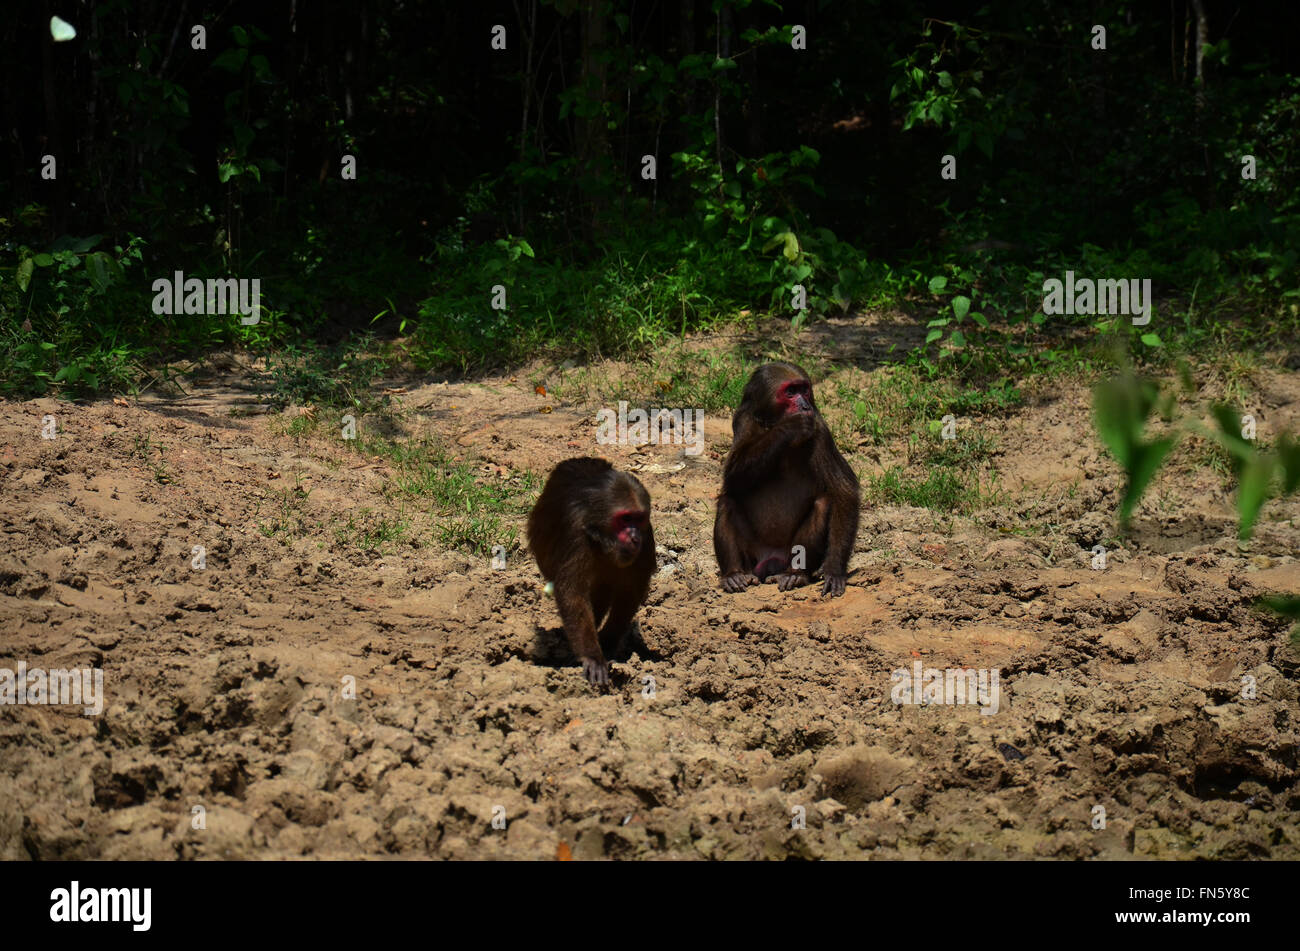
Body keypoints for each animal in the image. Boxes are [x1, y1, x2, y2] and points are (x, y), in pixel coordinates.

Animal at [527, 458, 655, 686]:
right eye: (625, 519)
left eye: (638, 519)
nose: (634, 538)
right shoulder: (576, 532)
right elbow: (573, 592)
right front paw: (592, 655)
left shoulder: (647, 536)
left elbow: (630, 593)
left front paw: (607, 643)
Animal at [713, 362, 860, 597]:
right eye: (791, 392)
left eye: (804, 390)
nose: (804, 405)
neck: (771, 420)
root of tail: (771, 560)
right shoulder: (743, 421)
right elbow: (732, 479)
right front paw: (789, 427)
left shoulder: (820, 429)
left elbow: (844, 491)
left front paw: (834, 570)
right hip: (752, 557)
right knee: (727, 501)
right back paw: (734, 574)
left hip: (789, 554)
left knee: (822, 504)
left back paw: (795, 574)